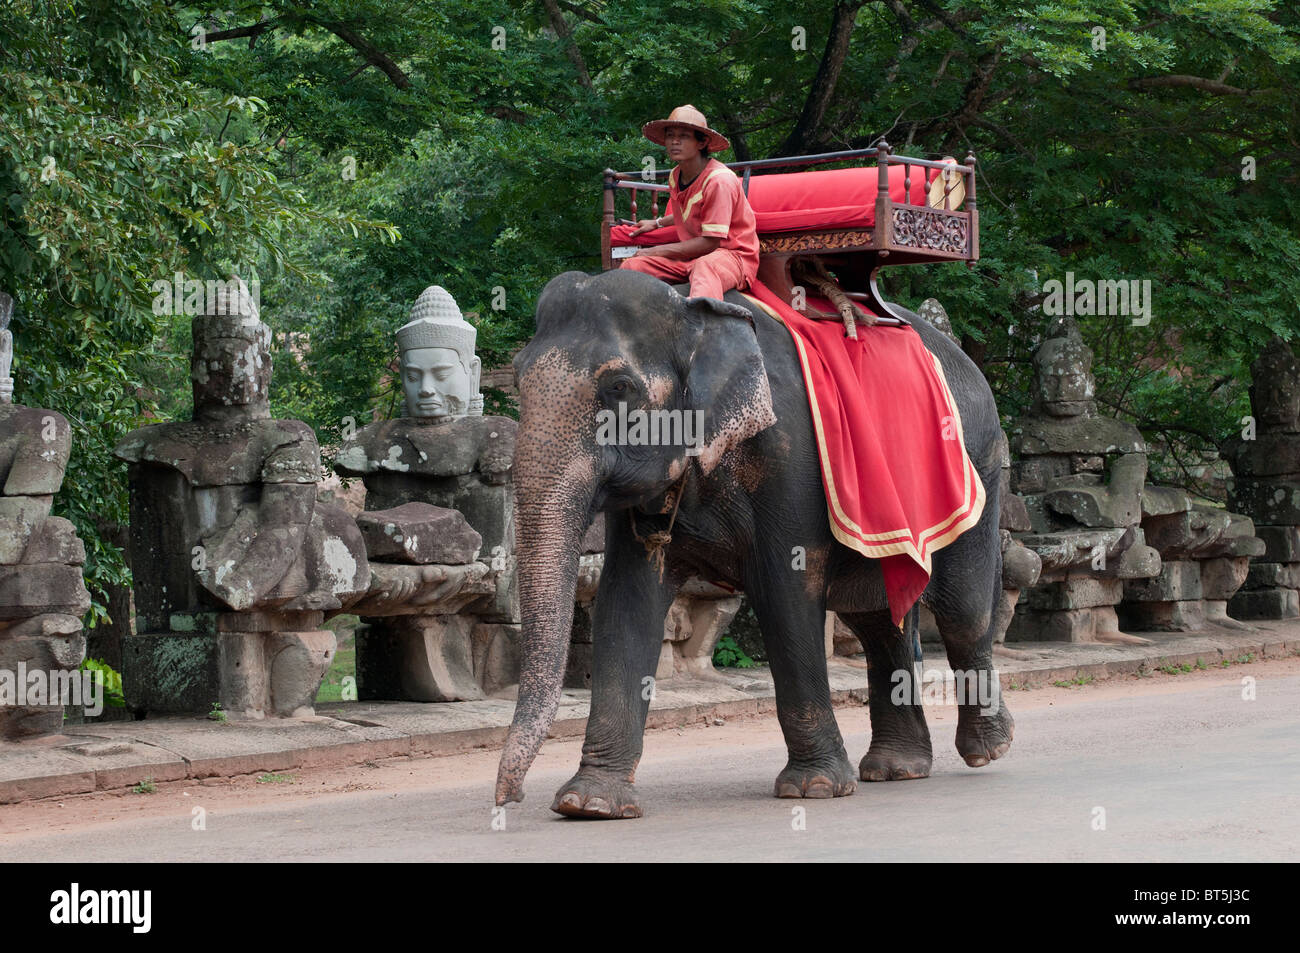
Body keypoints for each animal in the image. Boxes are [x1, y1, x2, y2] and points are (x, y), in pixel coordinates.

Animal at [495, 267, 1012, 818]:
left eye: (619, 386)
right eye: (519, 379)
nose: (508, 798)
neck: (692, 308)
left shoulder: (792, 458)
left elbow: (787, 592)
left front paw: (814, 788)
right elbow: (627, 599)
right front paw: (588, 803)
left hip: (979, 465)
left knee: (963, 612)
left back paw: (988, 748)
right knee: (879, 621)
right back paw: (897, 769)